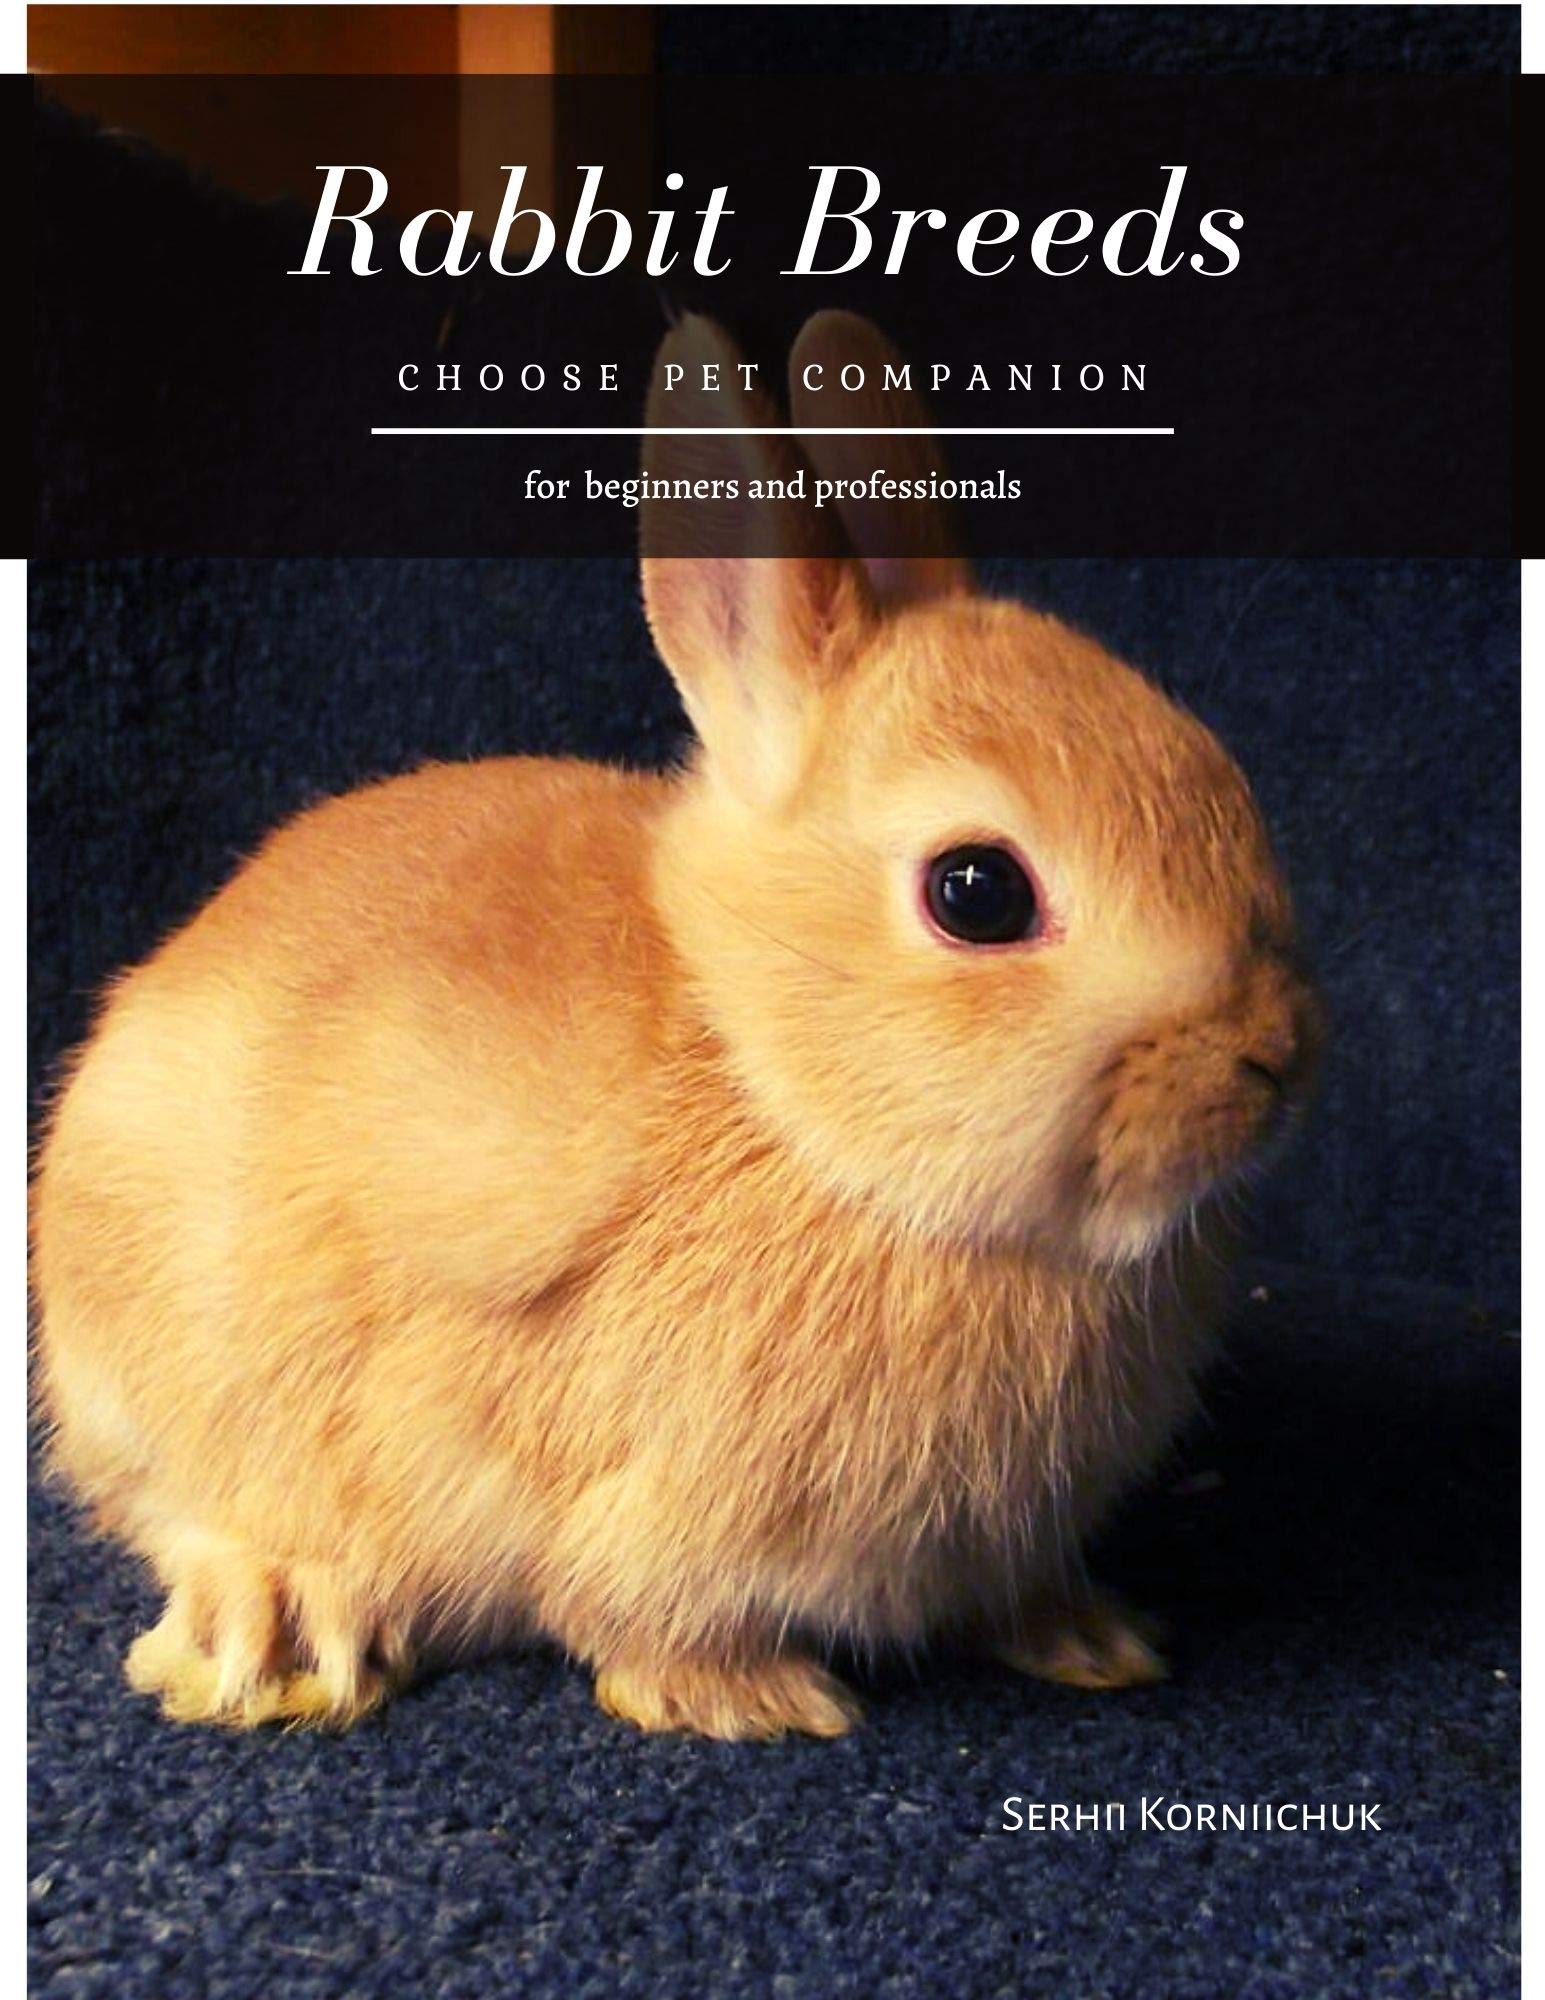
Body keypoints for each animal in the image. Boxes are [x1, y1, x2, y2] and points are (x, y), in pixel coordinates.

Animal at [30, 311, 1320, 1740]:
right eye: (977, 891)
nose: (1275, 1057)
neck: (773, 1086)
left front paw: (1091, 1635)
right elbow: (635, 1607)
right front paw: (757, 1700)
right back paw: (270, 1627)